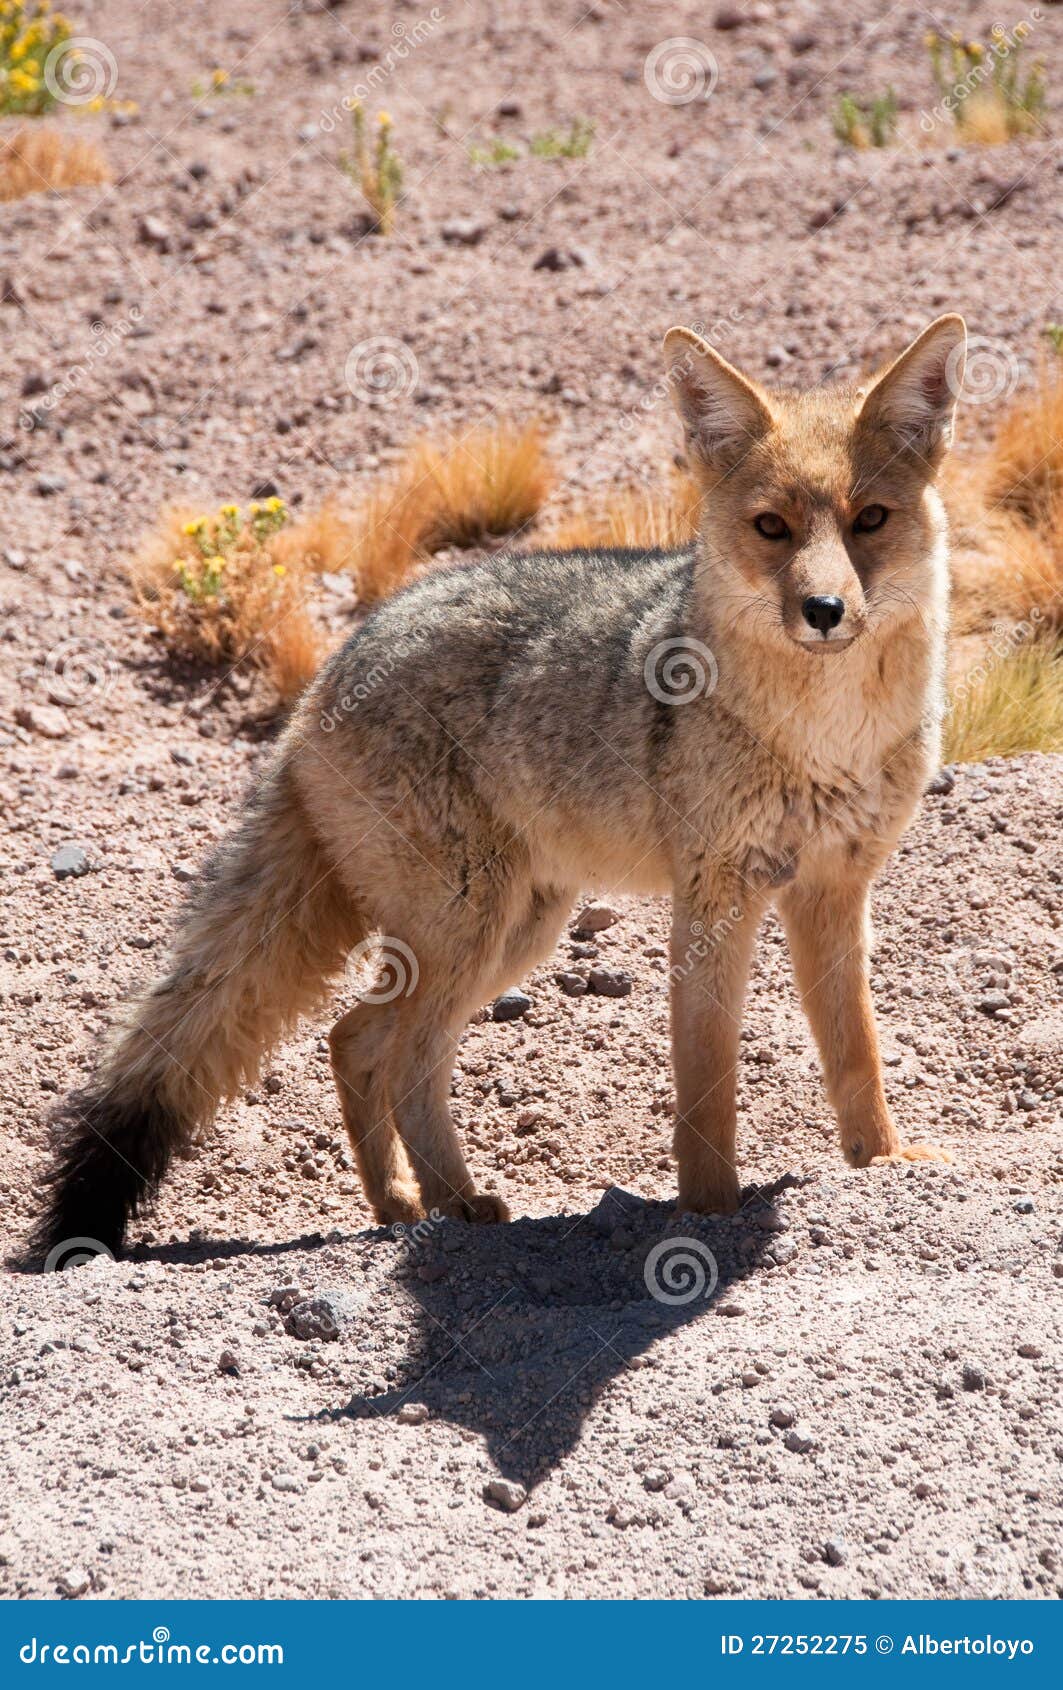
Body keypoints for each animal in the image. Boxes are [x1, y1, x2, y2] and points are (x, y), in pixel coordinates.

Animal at [31, 313, 966, 1263]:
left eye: (870, 520)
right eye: (772, 527)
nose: (824, 611)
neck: (825, 736)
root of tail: (322, 685)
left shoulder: (833, 888)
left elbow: (855, 1052)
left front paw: (881, 1162)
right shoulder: (714, 898)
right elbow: (705, 1081)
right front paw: (707, 1211)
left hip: (515, 928)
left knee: (353, 1039)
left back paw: (397, 1204)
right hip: (471, 927)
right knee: (404, 1058)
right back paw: (454, 1203)